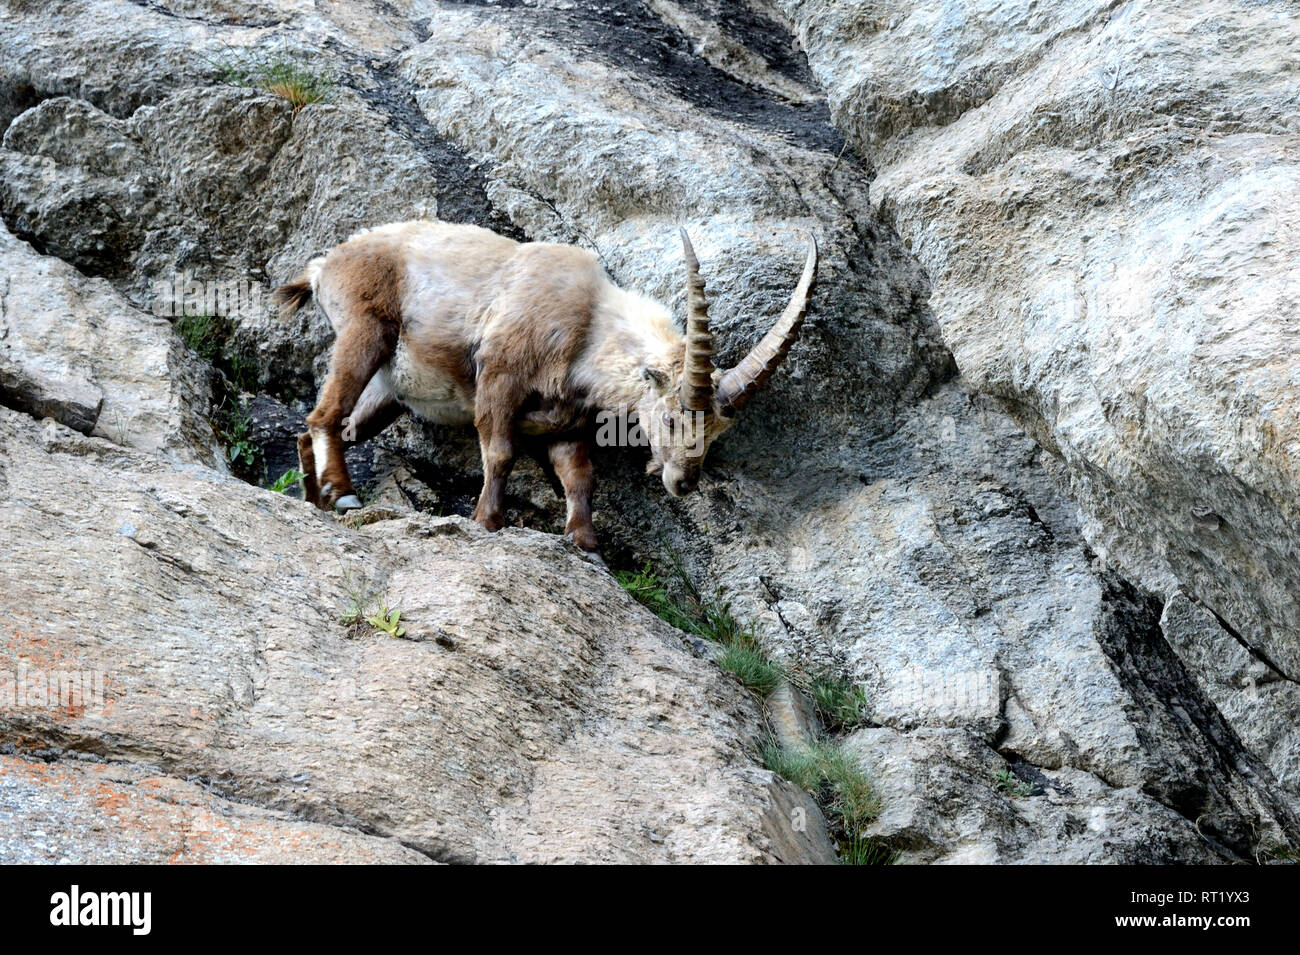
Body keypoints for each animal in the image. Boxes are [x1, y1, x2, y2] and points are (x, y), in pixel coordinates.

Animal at [274, 220, 816, 552]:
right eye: (671, 416)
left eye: (717, 433)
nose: (685, 482)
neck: (587, 329)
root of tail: (324, 265)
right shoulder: (499, 378)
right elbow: (500, 453)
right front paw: (487, 520)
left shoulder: (566, 424)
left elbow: (580, 478)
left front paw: (585, 543)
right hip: (364, 332)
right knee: (323, 416)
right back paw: (344, 494)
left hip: (389, 392)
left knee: (321, 429)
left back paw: (314, 499)